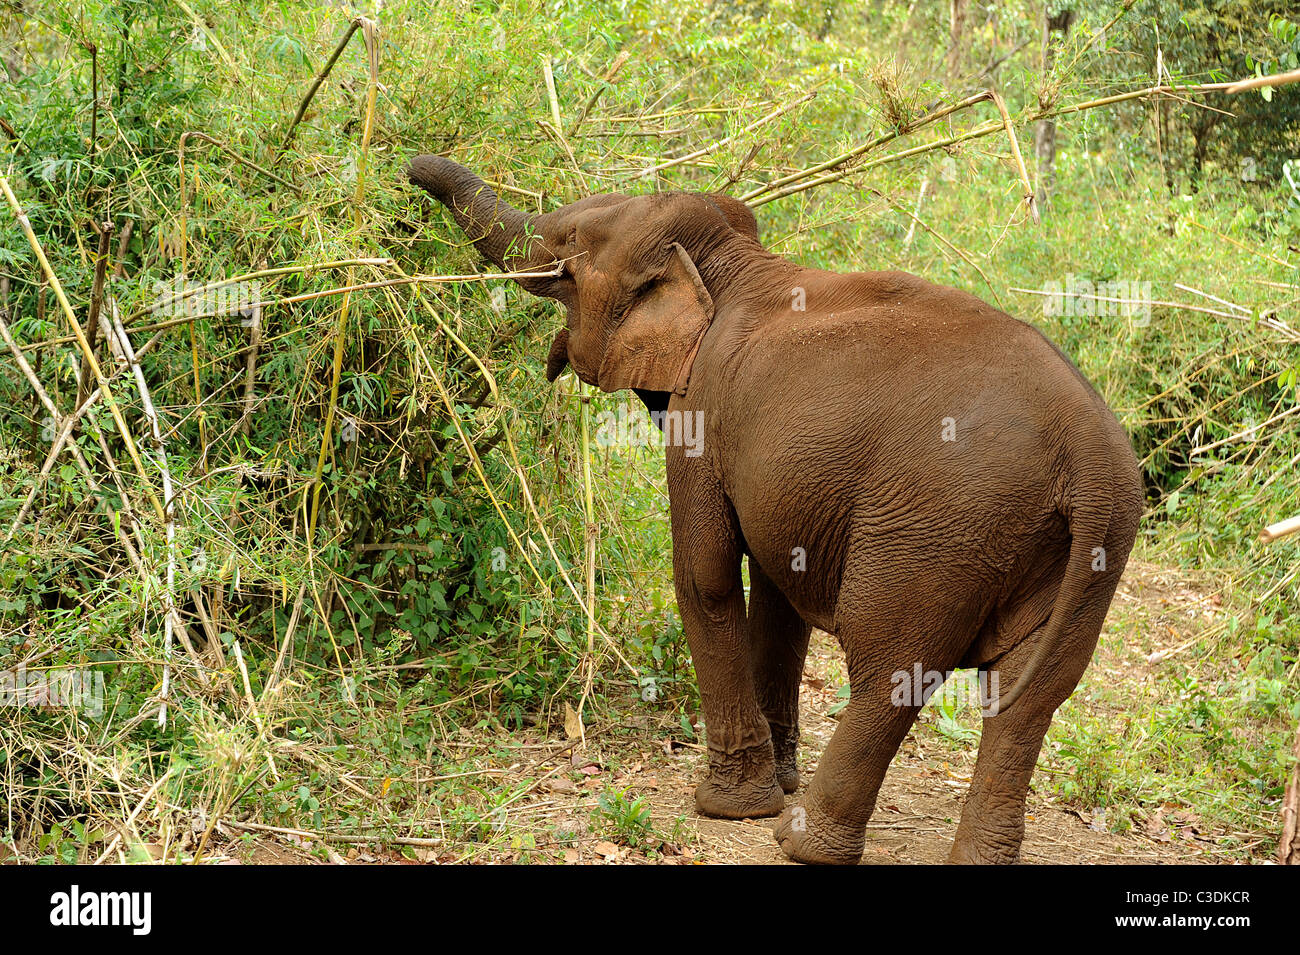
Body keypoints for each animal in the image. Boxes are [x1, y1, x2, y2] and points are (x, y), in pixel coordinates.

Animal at [407, 155, 1143, 864]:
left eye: (574, 245)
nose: (407, 171)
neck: (731, 262)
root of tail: (1086, 451)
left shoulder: (703, 412)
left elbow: (704, 573)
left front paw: (730, 806)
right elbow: (778, 590)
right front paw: (777, 780)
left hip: (938, 528)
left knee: (891, 669)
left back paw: (801, 842)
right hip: (1092, 549)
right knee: (1032, 691)